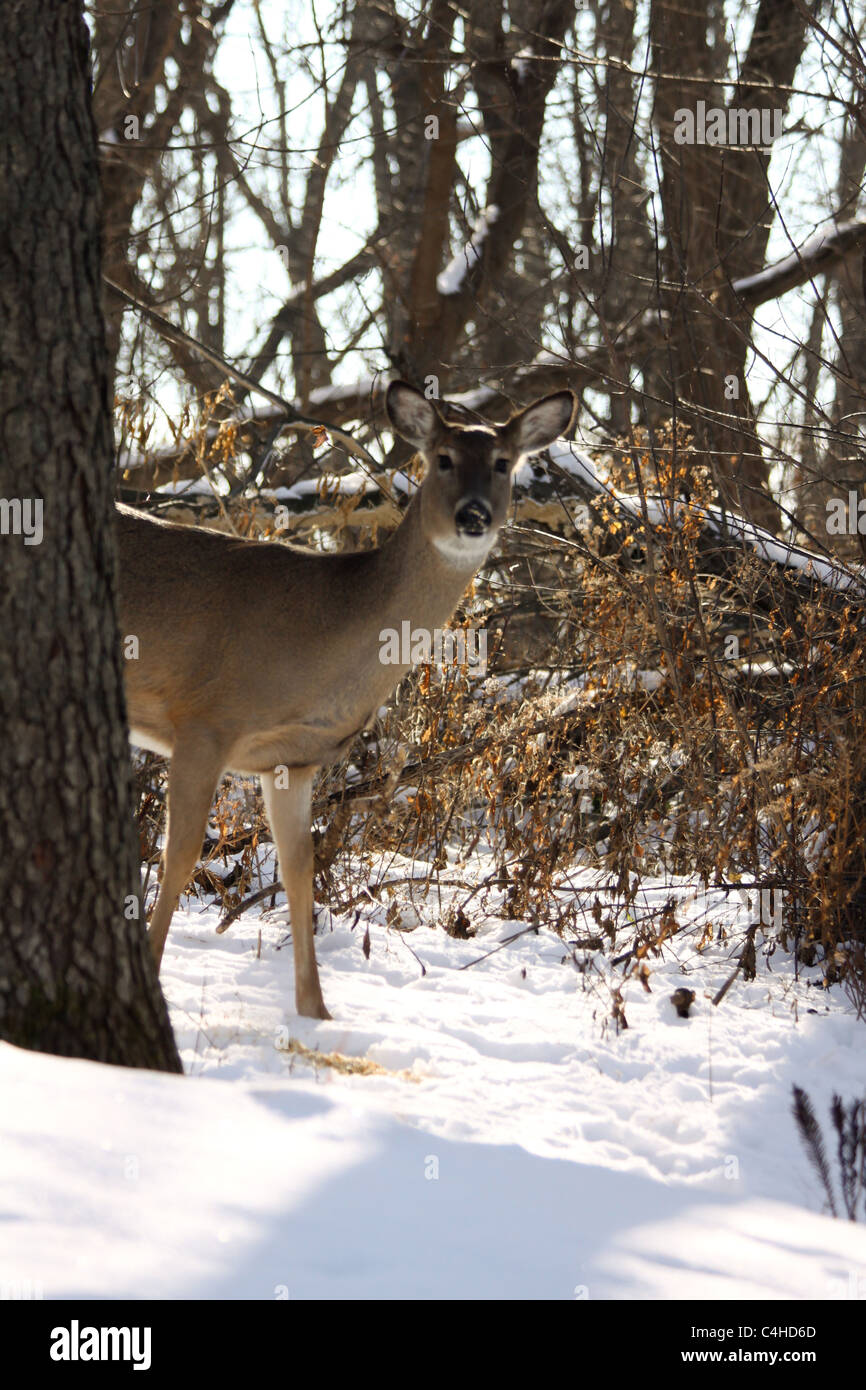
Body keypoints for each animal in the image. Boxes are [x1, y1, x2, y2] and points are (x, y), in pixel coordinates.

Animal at [117, 381, 576, 1019]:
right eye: (443, 459)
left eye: (504, 463)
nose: (474, 515)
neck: (328, 634)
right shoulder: (205, 720)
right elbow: (180, 855)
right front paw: (153, 980)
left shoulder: (292, 759)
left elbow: (299, 869)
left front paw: (316, 1011)